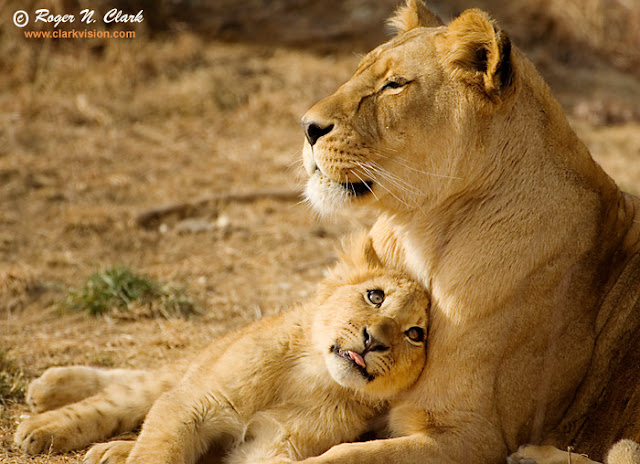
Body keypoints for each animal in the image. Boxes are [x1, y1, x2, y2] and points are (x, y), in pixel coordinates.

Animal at [14, 233, 430, 464]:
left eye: (415, 334)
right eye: (375, 296)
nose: (374, 339)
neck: (311, 378)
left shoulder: (270, 449)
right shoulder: (191, 404)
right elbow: (155, 451)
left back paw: (105, 449)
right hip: (190, 374)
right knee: (134, 390)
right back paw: (42, 411)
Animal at [296, 1, 640, 464]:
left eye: (393, 85)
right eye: (358, 73)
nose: (307, 127)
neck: (420, 233)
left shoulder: (472, 435)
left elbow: (343, 455)